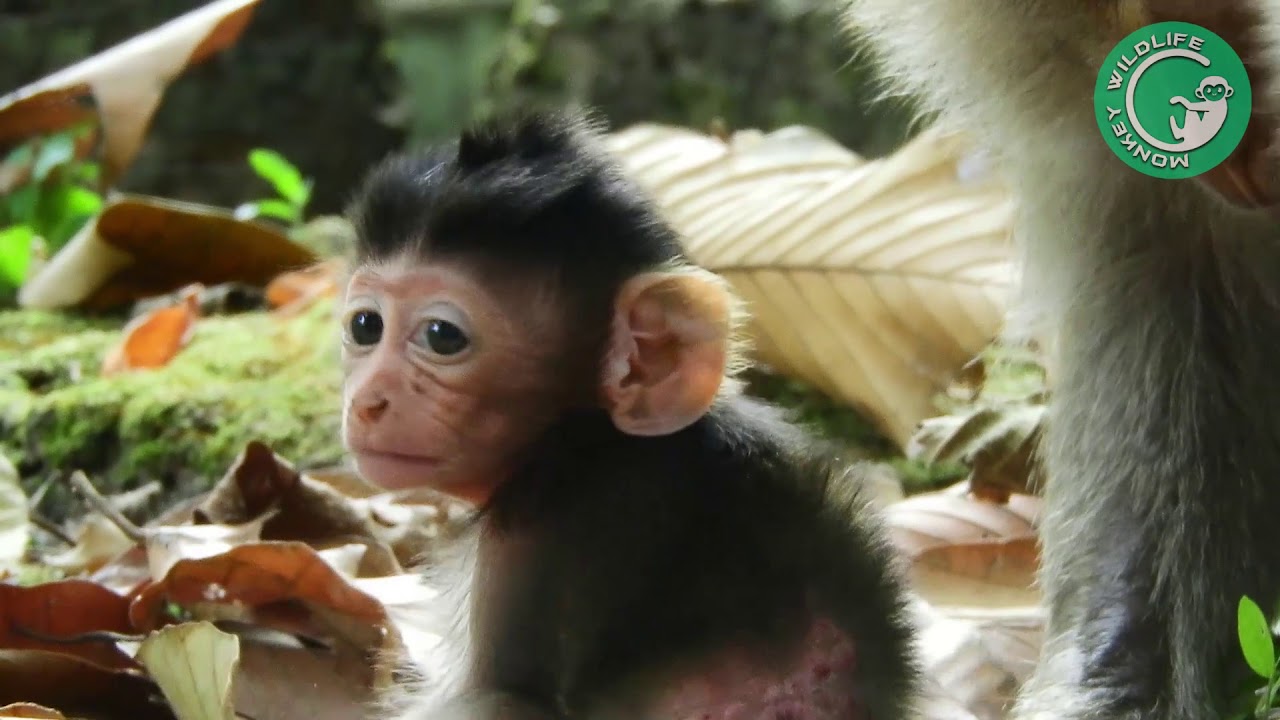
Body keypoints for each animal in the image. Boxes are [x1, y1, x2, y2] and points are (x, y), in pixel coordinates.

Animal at [339, 108, 920, 720]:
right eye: (365, 327)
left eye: (442, 336)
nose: (368, 400)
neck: (589, 436)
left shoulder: (544, 531)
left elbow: (503, 697)